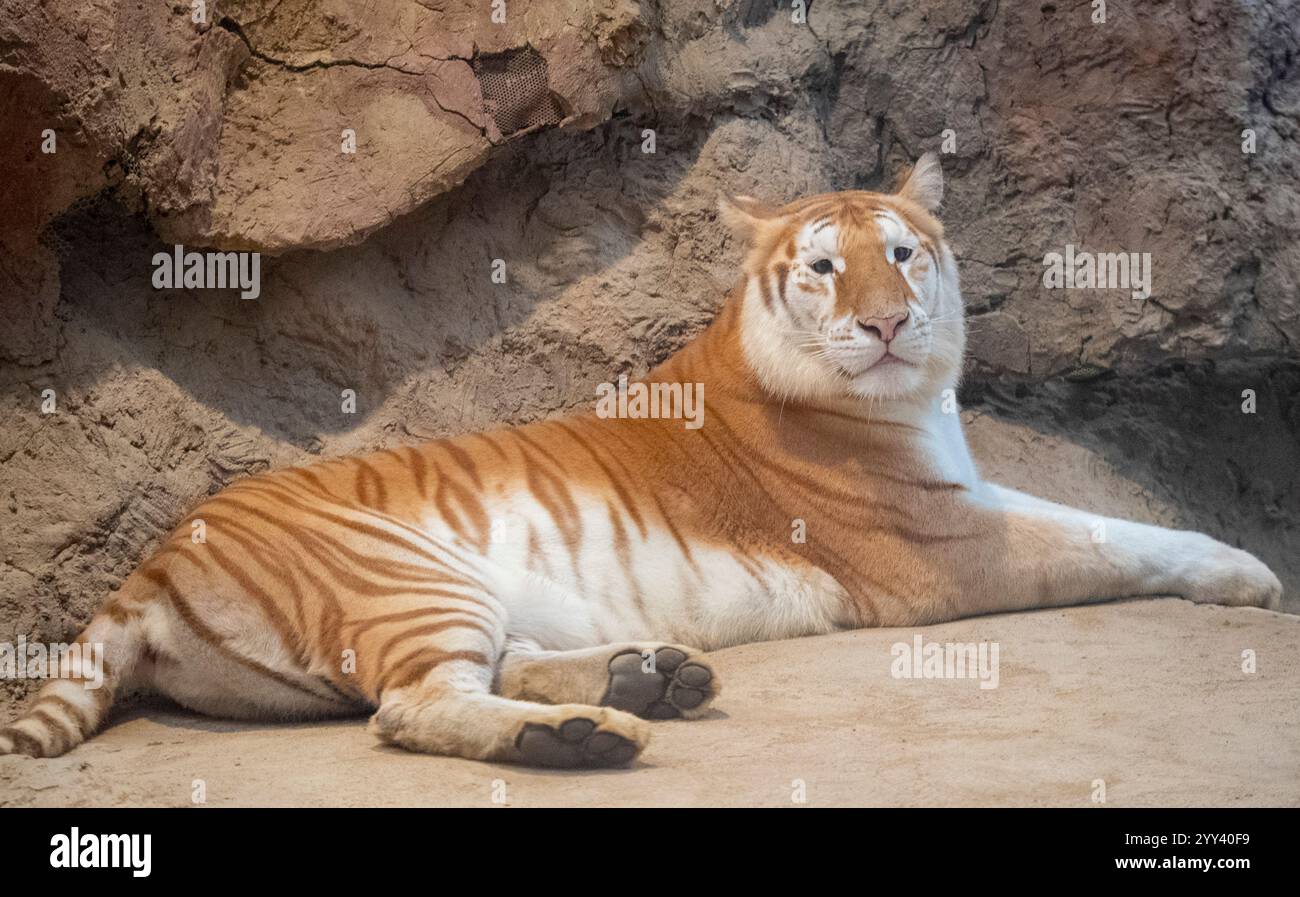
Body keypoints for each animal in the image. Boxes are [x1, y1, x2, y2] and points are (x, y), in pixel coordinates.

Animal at [1, 154, 1283, 768]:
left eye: (905, 254)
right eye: (825, 269)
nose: (883, 324)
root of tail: (148, 560)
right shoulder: (944, 537)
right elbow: (1101, 531)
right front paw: (1246, 571)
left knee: (486, 671)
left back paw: (642, 677)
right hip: (411, 575)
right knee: (413, 708)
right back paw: (590, 737)